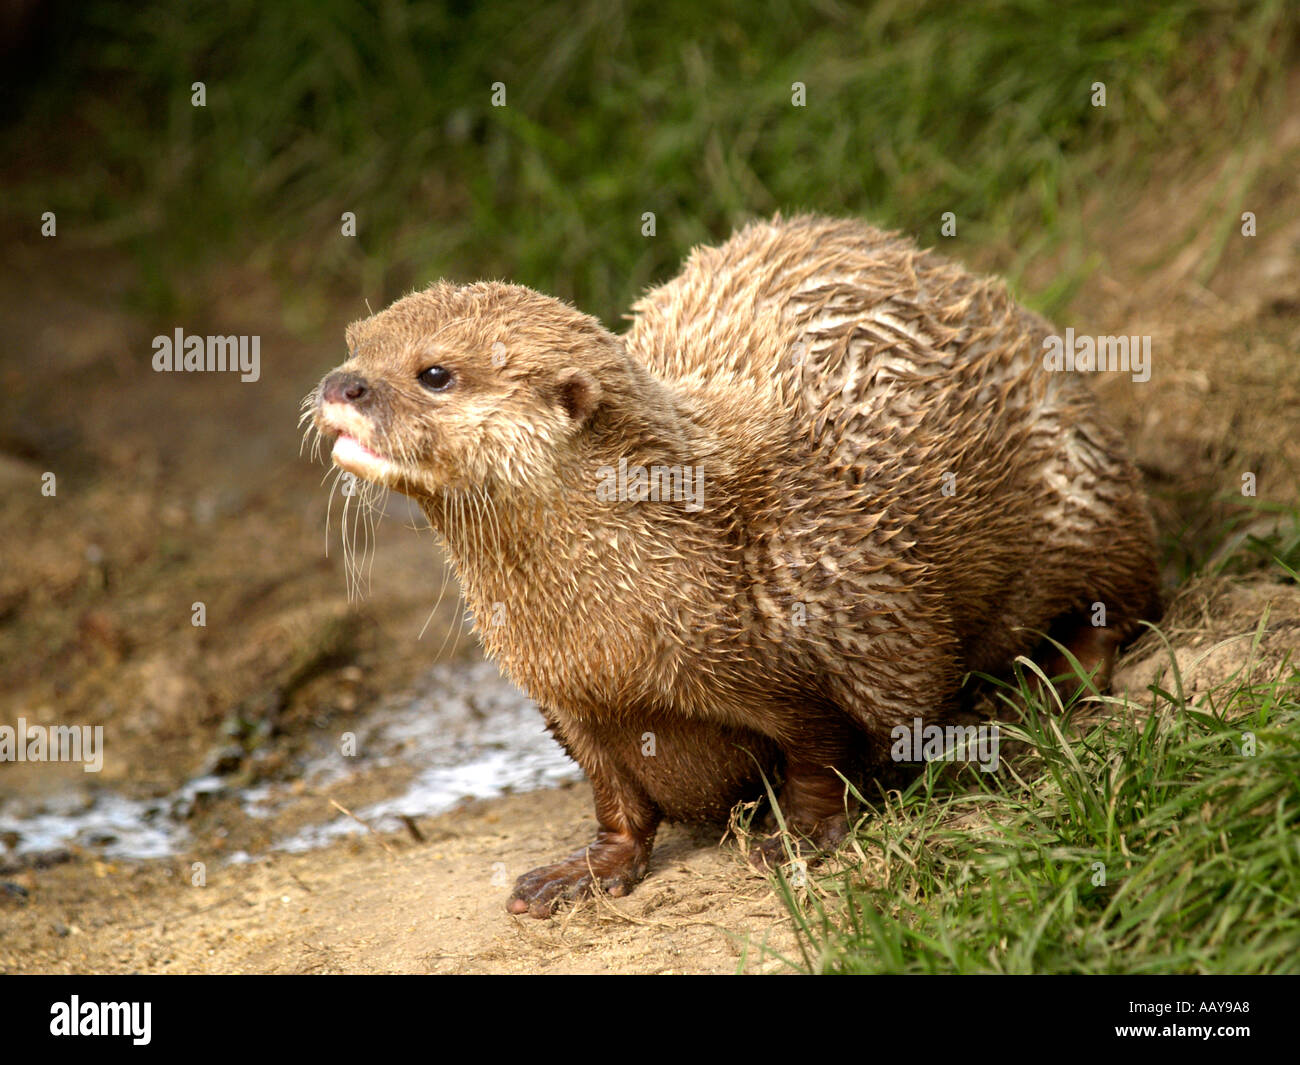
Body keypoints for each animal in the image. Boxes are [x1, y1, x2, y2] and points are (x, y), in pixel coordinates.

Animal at [306, 214, 1160, 918]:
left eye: (434, 373)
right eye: (356, 339)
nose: (338, 382)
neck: (618, 638)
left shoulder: (844, 624)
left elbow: (829, 745)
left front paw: (801, 834)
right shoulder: (566, 699)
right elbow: (615, 796)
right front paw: (583, 870)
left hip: (1081, 482)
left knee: (1124, 593)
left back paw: (1059, 679)